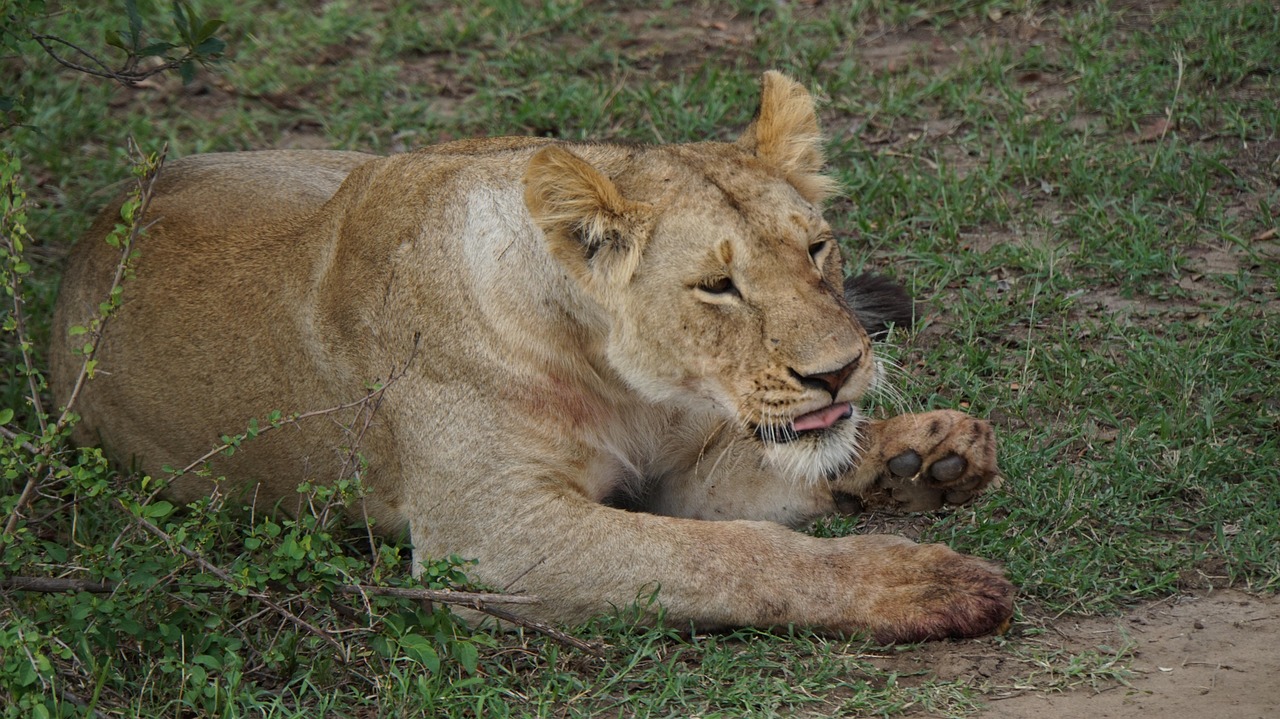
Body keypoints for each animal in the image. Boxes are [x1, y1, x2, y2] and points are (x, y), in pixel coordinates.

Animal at [50, 72, 1013, 643]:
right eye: (717, 286)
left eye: (817, 247)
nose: (839, 368)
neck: (631, 382)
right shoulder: (490, 536)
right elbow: (727, 555)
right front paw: (917, 579)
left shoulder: (685, 464)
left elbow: (772, 484)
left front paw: (926, 452)